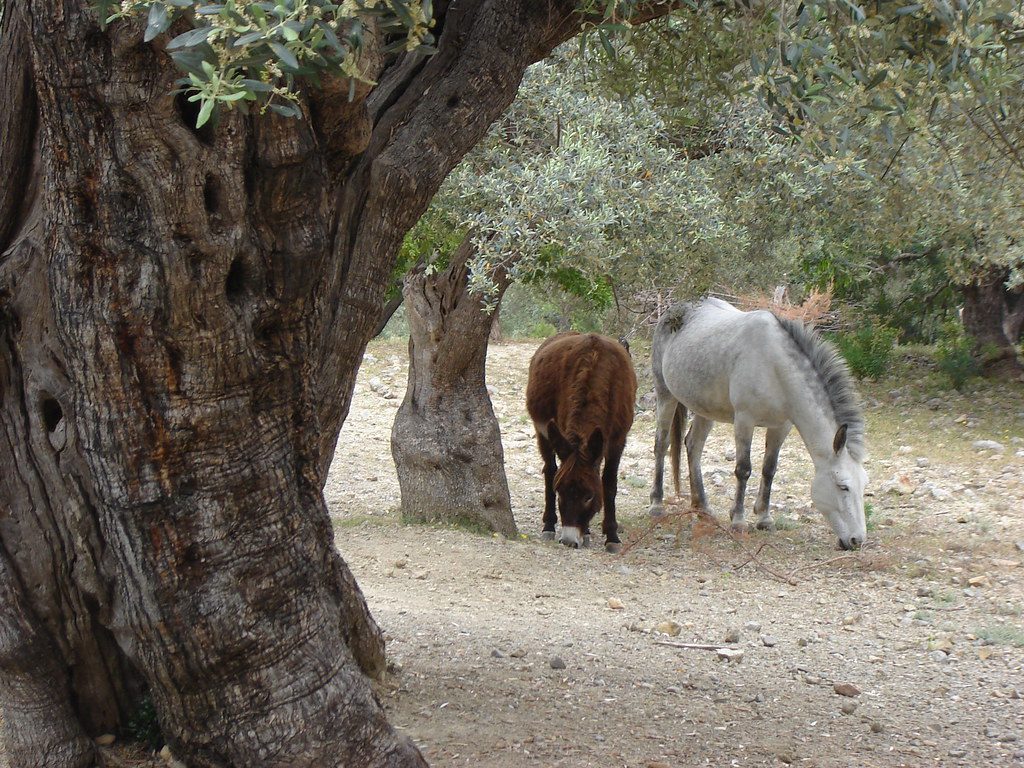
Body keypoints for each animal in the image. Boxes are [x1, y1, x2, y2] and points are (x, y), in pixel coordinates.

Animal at [526, 332, 637, 553]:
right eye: (559, 491)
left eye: (589, 497)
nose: (569, 541)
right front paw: (587, 533)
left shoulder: (617, 440)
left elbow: (609, 483)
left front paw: (611, 536)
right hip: (544, 431)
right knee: (550, 469)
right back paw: (549, 525)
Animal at [648, 298, 868, 550]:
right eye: (843, 486)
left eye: (864, 486)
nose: (857, 540)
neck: (775, 366)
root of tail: (675, 311)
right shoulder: (745, 420)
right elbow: (743, 469)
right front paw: (739, 521)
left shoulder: (781, 426)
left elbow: (769, 469)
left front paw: (764, 518)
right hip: (665, 395)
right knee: (662, 445)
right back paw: (656, 505)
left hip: (704, 408)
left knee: (693, 446)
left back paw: (702, 508)